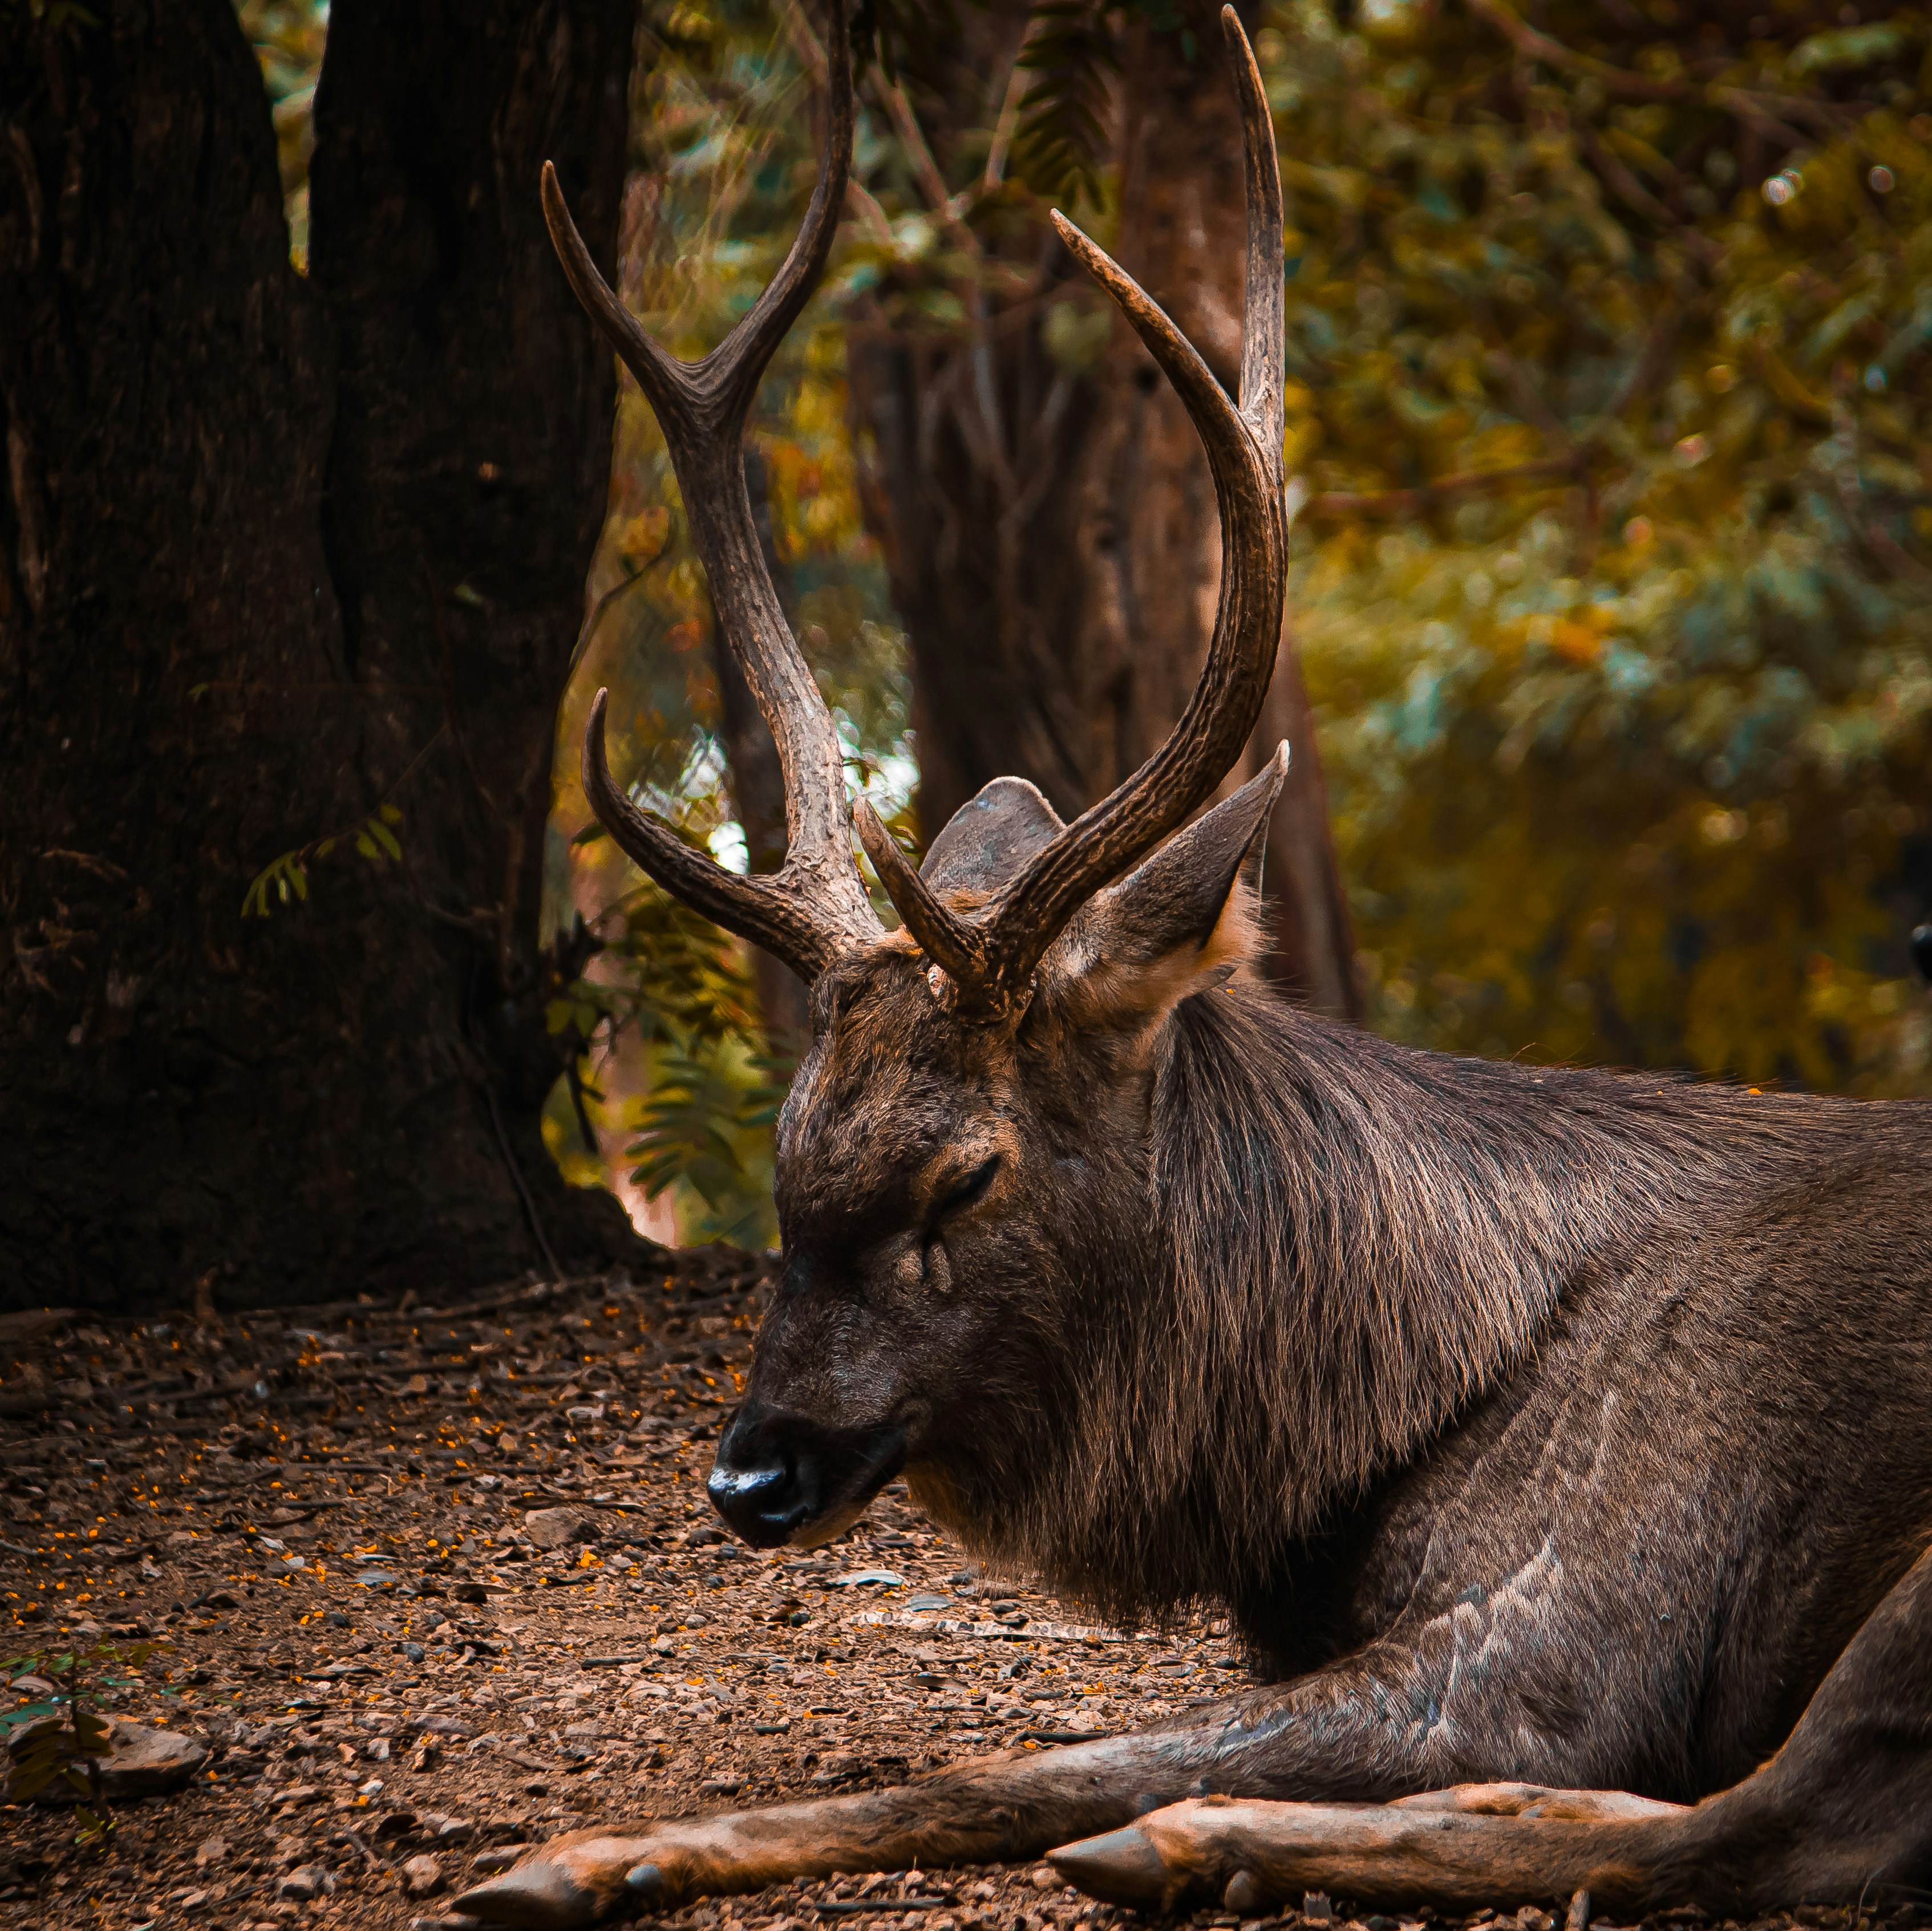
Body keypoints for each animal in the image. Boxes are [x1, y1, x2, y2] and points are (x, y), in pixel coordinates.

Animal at [459, 7, 1932, 1925]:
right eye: (788, 1152)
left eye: (967, 1172)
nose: (750, 1469)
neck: (1355, 1439)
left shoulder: (1580, 1616)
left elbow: (1043, 1752)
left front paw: (576, 1853)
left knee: (1776, 1821)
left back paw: (1186, 1843)